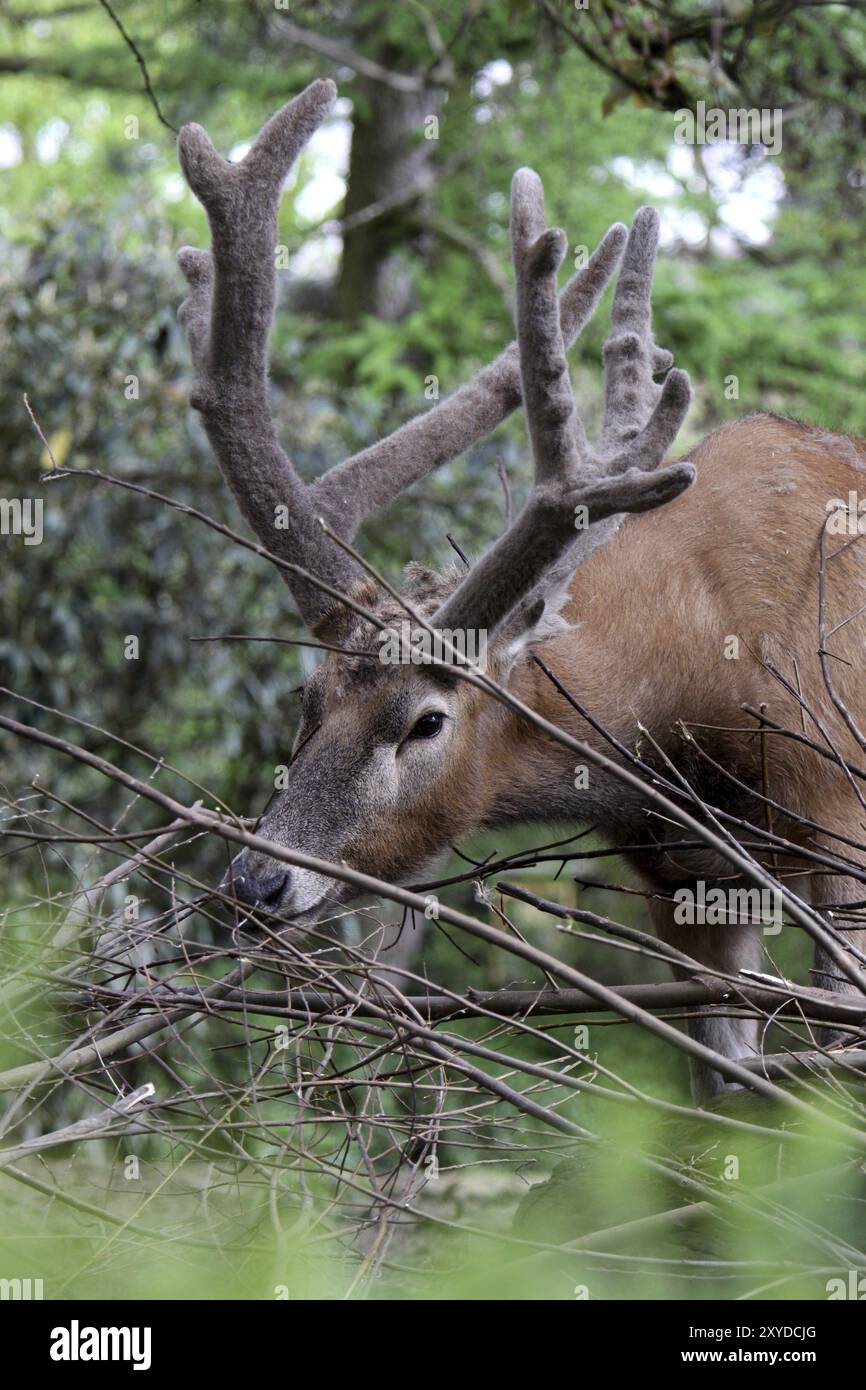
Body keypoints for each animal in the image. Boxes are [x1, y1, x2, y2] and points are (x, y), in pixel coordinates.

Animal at [176, 79, 866, 1100]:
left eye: (427, 720)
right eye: (309, 698)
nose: (257, 884)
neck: (703, 666)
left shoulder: (839, 804)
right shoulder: (680, 875)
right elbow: (727, 1088)